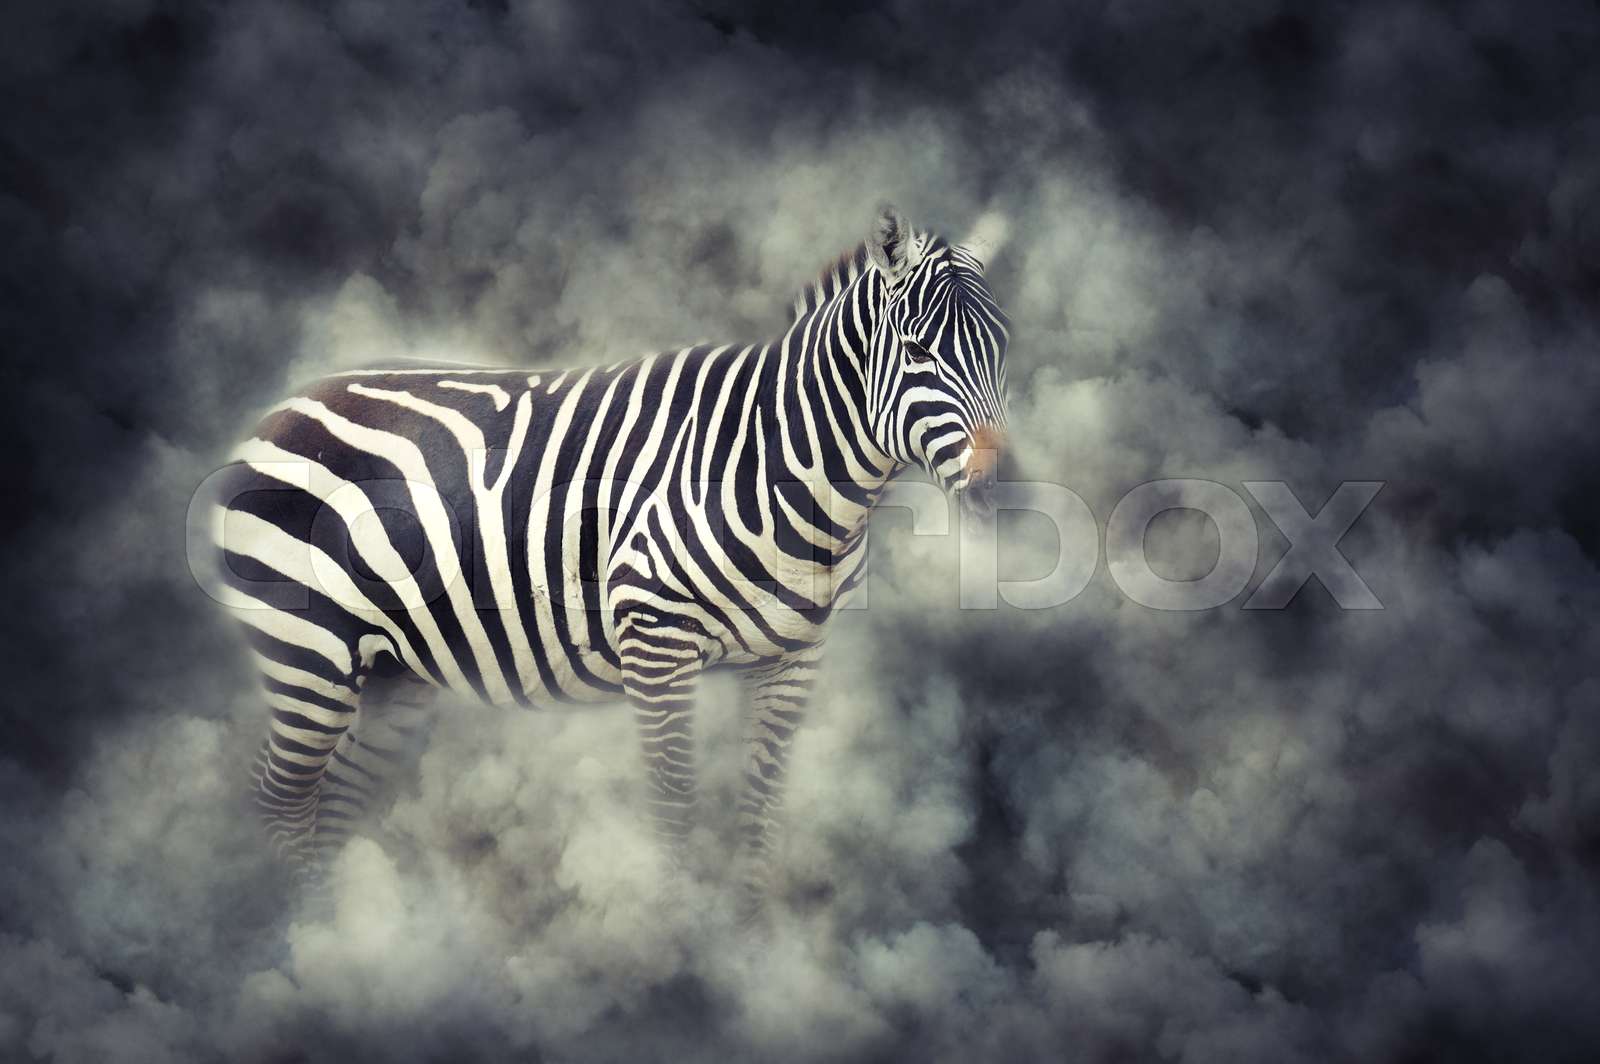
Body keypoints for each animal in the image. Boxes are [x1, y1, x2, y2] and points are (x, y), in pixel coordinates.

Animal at [205, 205, 1011, 910]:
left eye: (1003, 351)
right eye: (918, 352)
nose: (1000, 486)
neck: (784, 470)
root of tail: (282, 406)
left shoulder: (793, 660)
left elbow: (757, 812)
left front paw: (749, 944)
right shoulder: (655, 644)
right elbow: (676, 808)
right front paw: (681, 950)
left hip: (391, 670)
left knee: (332, 800)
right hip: (308, 652)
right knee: (279, 800)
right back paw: (312, 940)